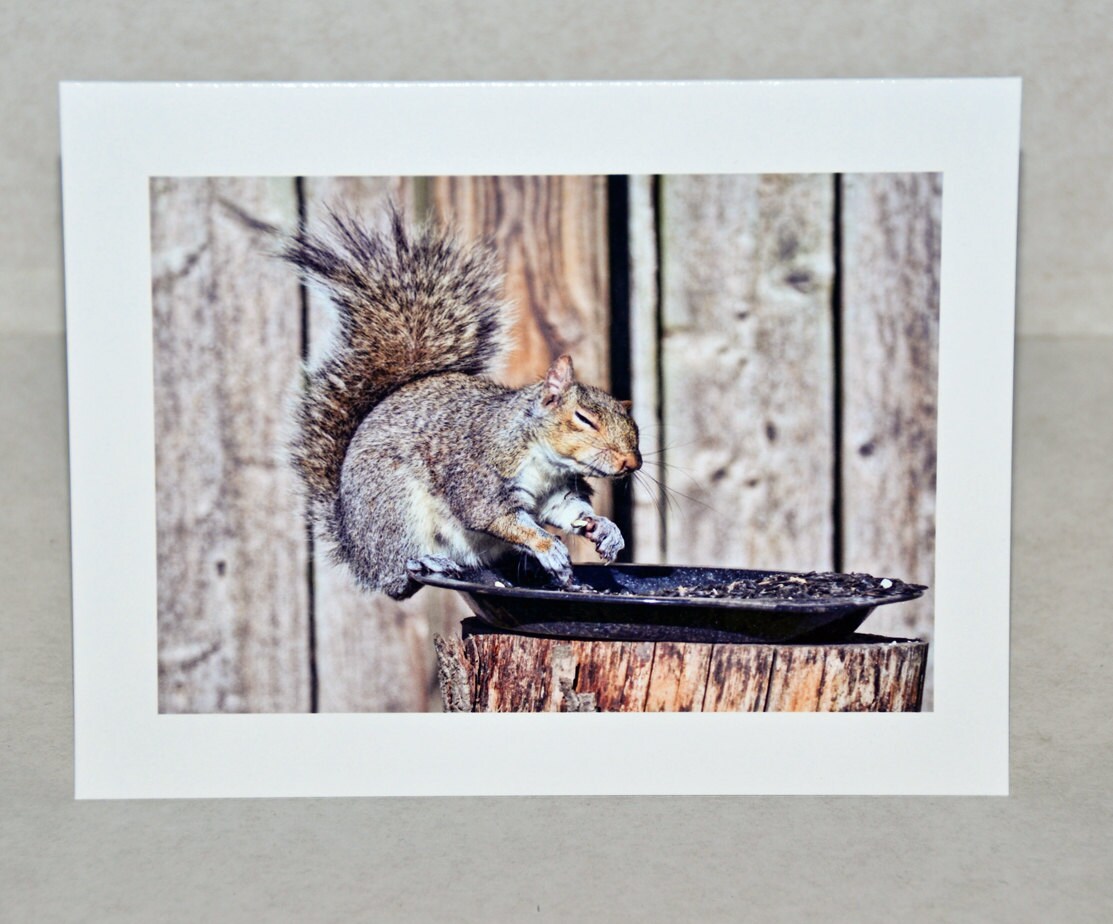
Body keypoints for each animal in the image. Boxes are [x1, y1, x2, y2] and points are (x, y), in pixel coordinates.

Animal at [282, 208, 642, 600]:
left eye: (634, 426)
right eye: (584, 418)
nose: (632, 462)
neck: (546, 462)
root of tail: (355, 547)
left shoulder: (558, 492)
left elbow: (568, 510)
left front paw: (605, 528)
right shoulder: (478, 475)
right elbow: (495, 516)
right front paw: (547, 546)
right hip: (394, 507)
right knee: (398, 575)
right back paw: (426, 562)